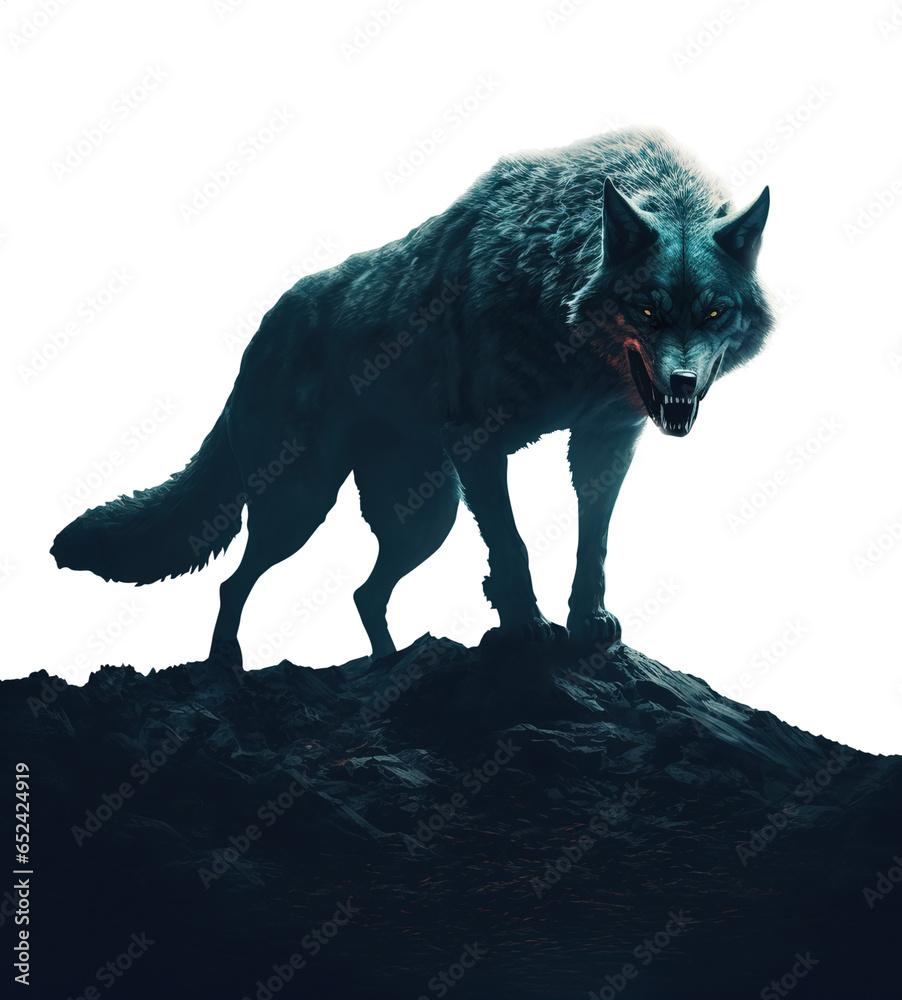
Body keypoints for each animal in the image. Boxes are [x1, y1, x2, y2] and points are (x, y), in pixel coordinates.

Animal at [51, 125, 774, 669]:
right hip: (302, 506)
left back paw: (389, 664)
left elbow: (590, 545)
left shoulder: (606, 441)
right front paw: (526, 628)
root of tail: (264, 327)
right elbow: (512, 547)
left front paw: (585, 620)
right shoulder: (479, 442)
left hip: (424, 521)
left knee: (364, 595)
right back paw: (227, 665)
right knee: (237, 580)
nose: (681, 386)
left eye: (714, 313)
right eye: (648, 309)